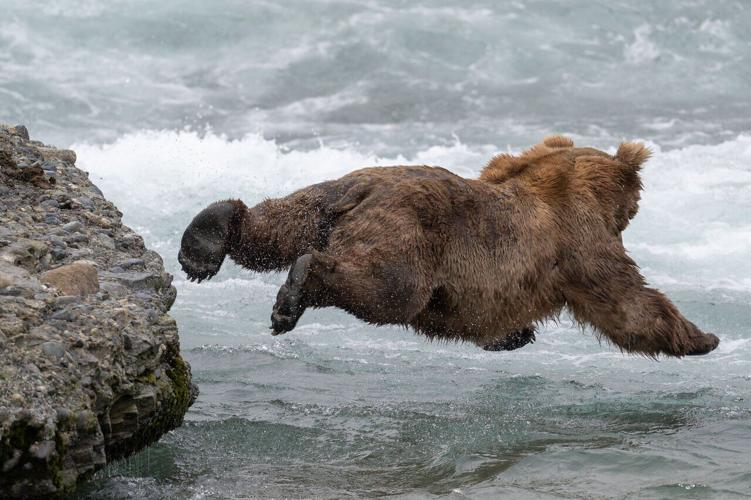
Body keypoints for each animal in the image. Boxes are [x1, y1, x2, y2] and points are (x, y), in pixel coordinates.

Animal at [178, 136, 719, 357]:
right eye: (635, 202)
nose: (633, 210)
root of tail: (368, 189)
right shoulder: (578, 245)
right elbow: (627, 304)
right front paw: (703, 338)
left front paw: (514, 335)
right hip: (408, 240)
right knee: (384, 288)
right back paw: (292, 296)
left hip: (325, 201)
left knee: (274, 228)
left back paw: (202, 243)